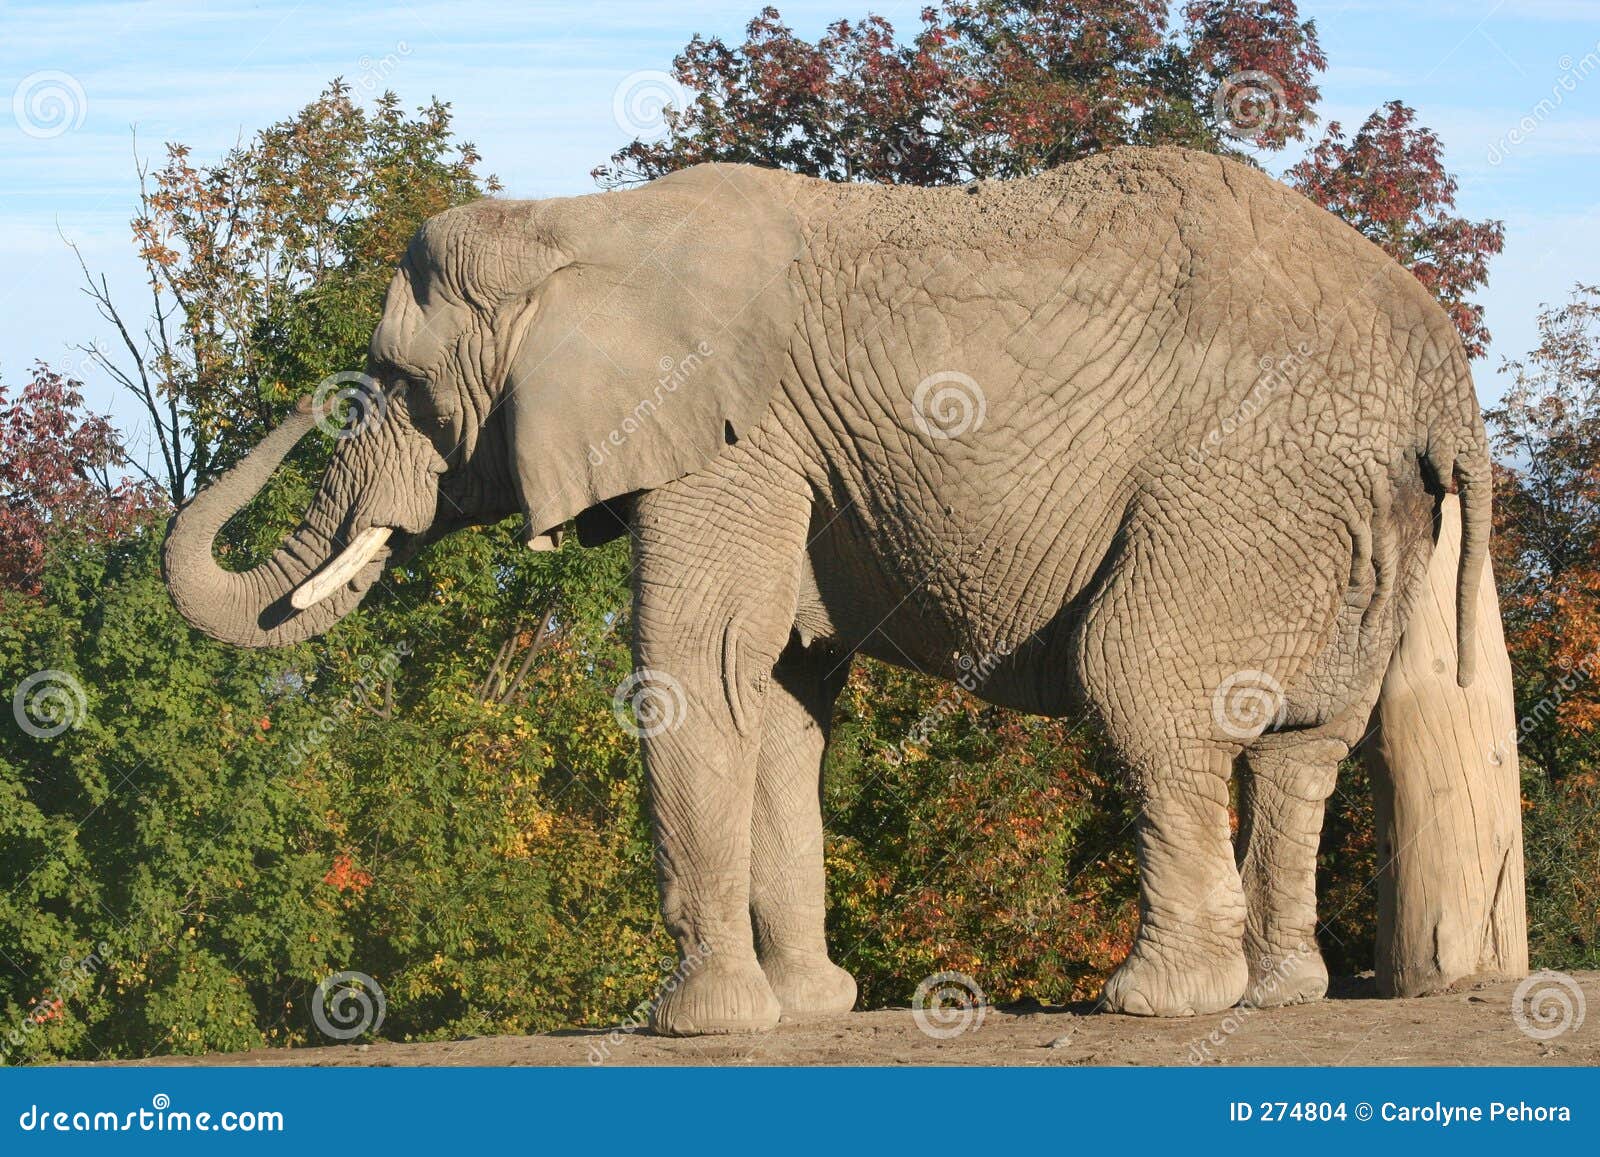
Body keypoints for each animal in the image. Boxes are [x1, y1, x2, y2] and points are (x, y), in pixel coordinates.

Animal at [164, 145, 1494, 1035]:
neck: (582, 223)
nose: (302, 408)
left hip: (1244, 481)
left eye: (397, 379)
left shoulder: (724, 435)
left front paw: (693, 1023)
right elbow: (778, 696)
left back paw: (1158, 1000)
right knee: (1305, 743)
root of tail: (1443, 370)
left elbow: (694, 661)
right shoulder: (784, 457)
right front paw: (809, 1006)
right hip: (1347, 518)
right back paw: (1280, 990)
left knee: (1140, 681)